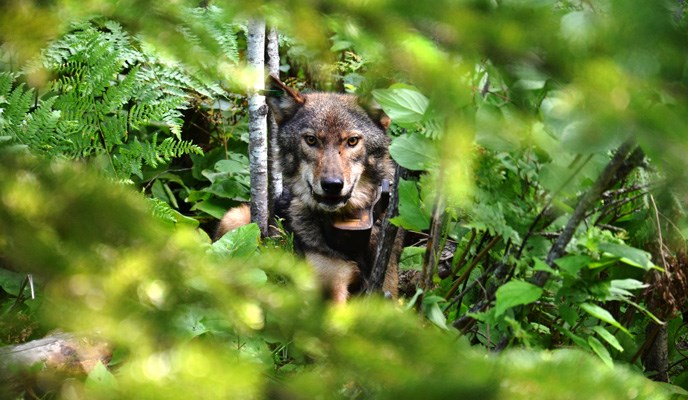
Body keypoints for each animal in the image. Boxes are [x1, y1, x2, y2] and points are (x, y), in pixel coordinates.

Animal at [216, 75, 400, 303]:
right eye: (311, 140)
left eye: (352, 141)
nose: (332, 185)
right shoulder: (331, 283)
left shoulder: (387, 285)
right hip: (234, 218)